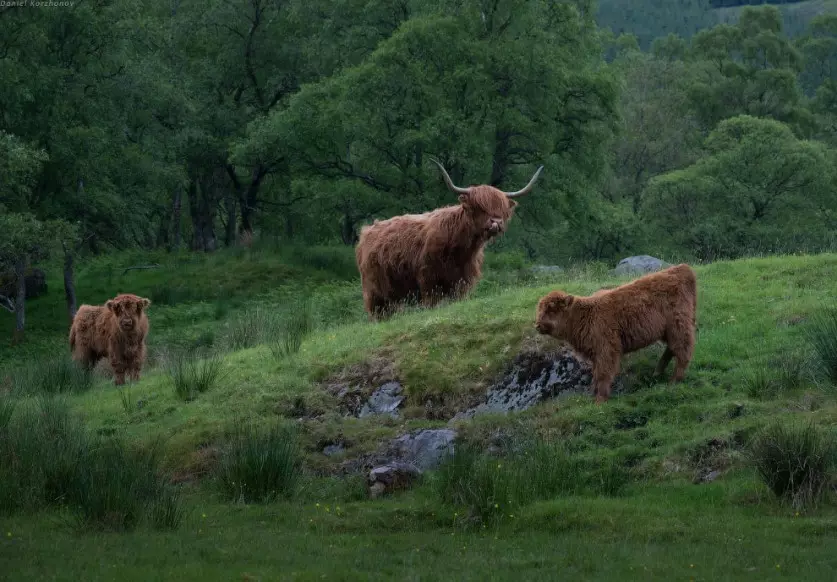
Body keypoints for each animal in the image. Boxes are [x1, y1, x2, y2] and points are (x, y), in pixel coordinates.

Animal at [352, 161, 544, 320]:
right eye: (479, 207)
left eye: (502, 209)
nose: (495, 223)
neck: (460, 249)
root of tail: (367, 230)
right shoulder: (429, 280)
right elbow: (432, 304)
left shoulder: (462, 282)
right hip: (374, 292)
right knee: (380, 314)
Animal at [532, 266, 696, 406]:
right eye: (539, 309)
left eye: (551, 309)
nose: (537, 325)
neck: (584, 315)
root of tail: (681, 269)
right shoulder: (595, 353)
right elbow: (596, 373)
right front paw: (593, 393)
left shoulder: (606, 349)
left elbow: (603, 373)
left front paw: (600, 400)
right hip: (668, 331)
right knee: (672, 349)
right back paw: (657, 372)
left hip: (678, 326)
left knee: (682, 350)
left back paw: (674, 380)